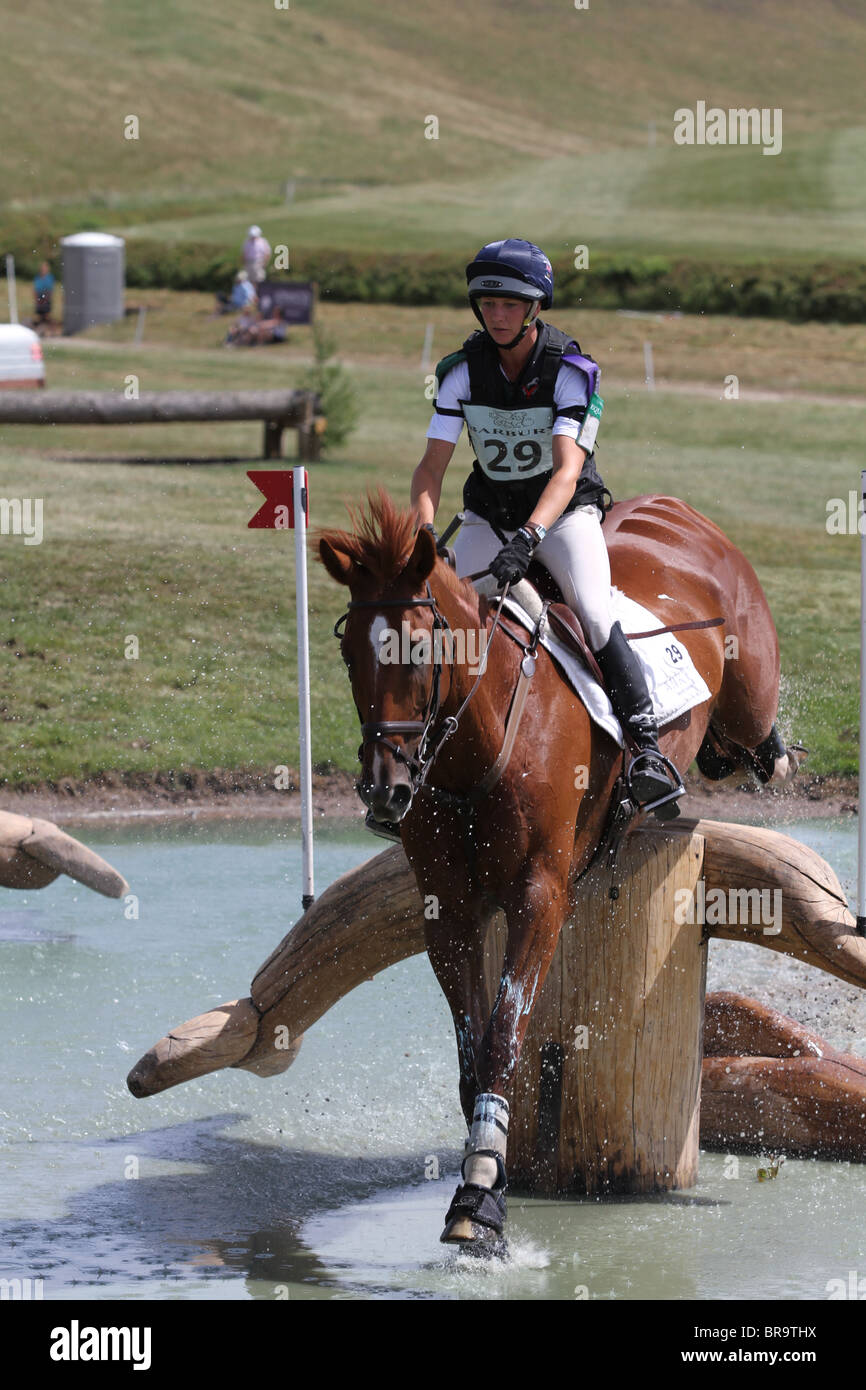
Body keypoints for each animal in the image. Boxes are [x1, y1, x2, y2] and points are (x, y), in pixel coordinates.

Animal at [319, 490, 799, 1251]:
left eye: (421, 647)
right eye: (347, 651)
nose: (385, 791)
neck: (478, 744)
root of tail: (675, 506)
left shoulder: (540, 896)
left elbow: (501, 1040)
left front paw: (478, 1196)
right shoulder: (448, 910)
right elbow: (470, 1054)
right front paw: (488, 1176)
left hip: (749, 690)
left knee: (755, 739)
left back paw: (737, 756)